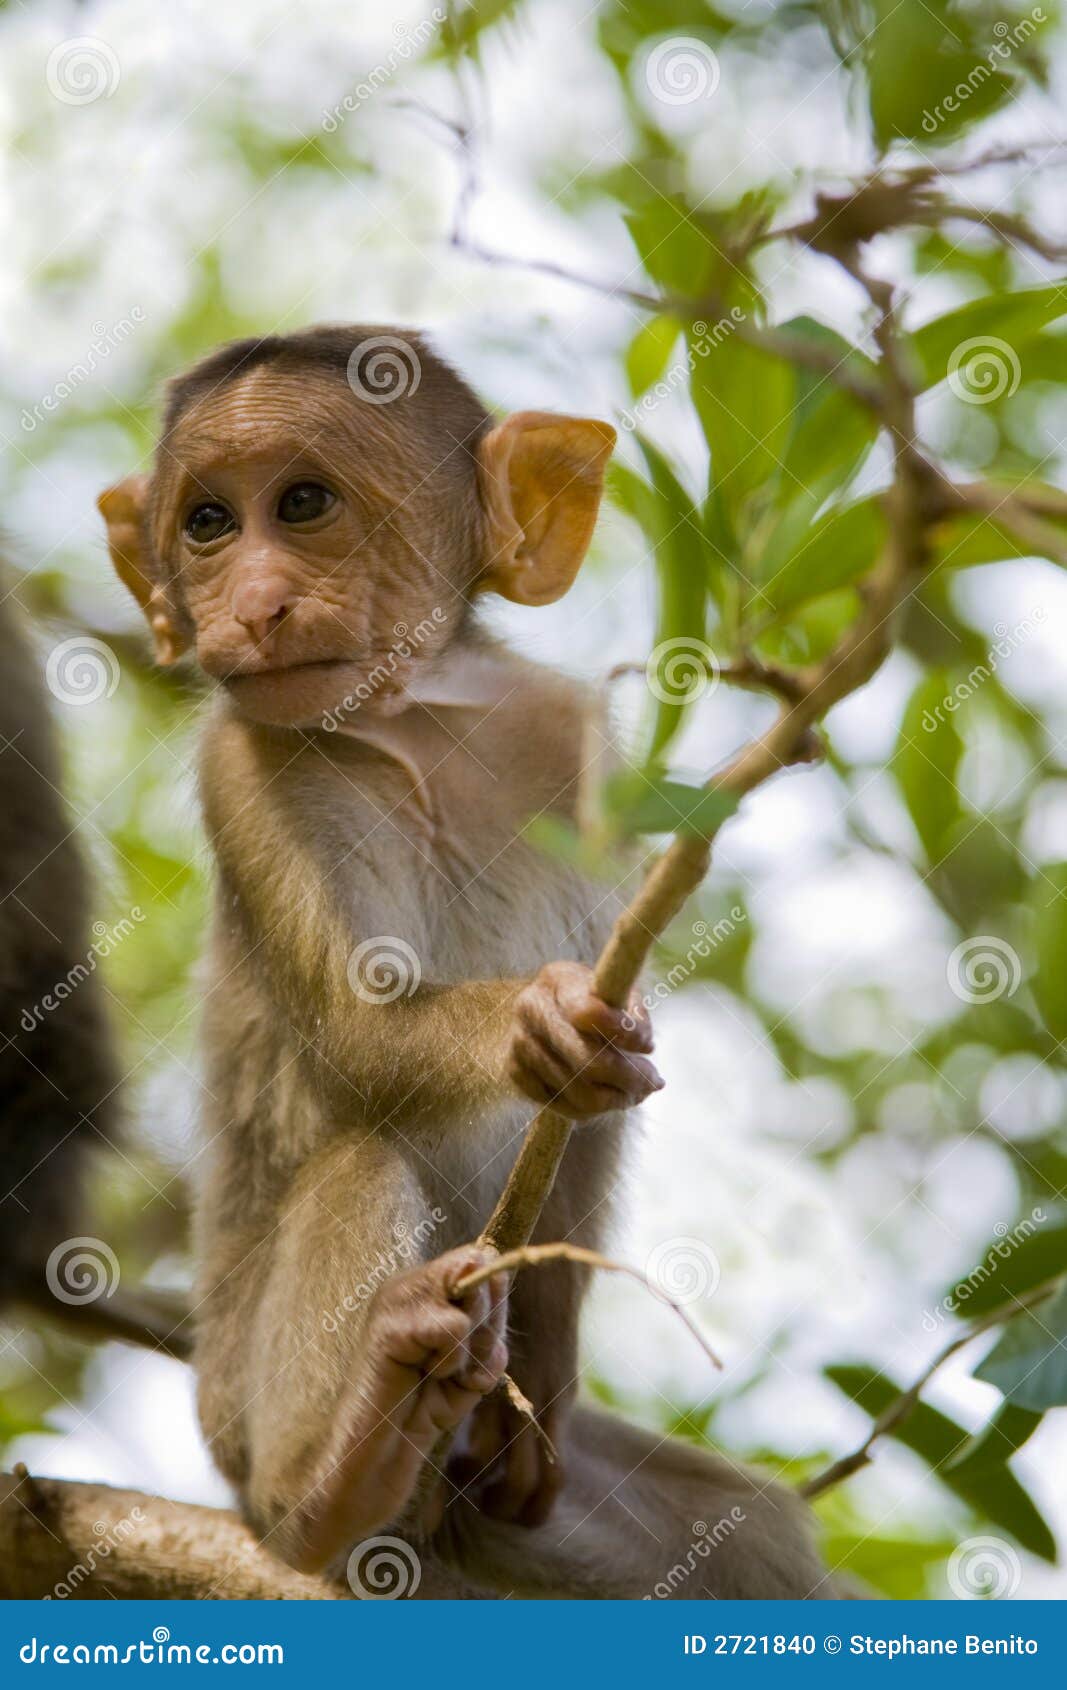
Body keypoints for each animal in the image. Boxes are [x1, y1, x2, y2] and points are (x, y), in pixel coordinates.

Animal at [99, 325, 829, 1599]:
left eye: (303, 503)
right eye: (207, 523)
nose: (251, 604)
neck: (411, 722)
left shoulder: (567, 739)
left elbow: (594, 1104)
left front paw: (550, 1358)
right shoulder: (241, 767)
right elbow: (358, 1037)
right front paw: (533, 1027)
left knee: (755, 1534)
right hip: (240, 1409)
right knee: (361, 1162)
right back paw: (340, 1470)